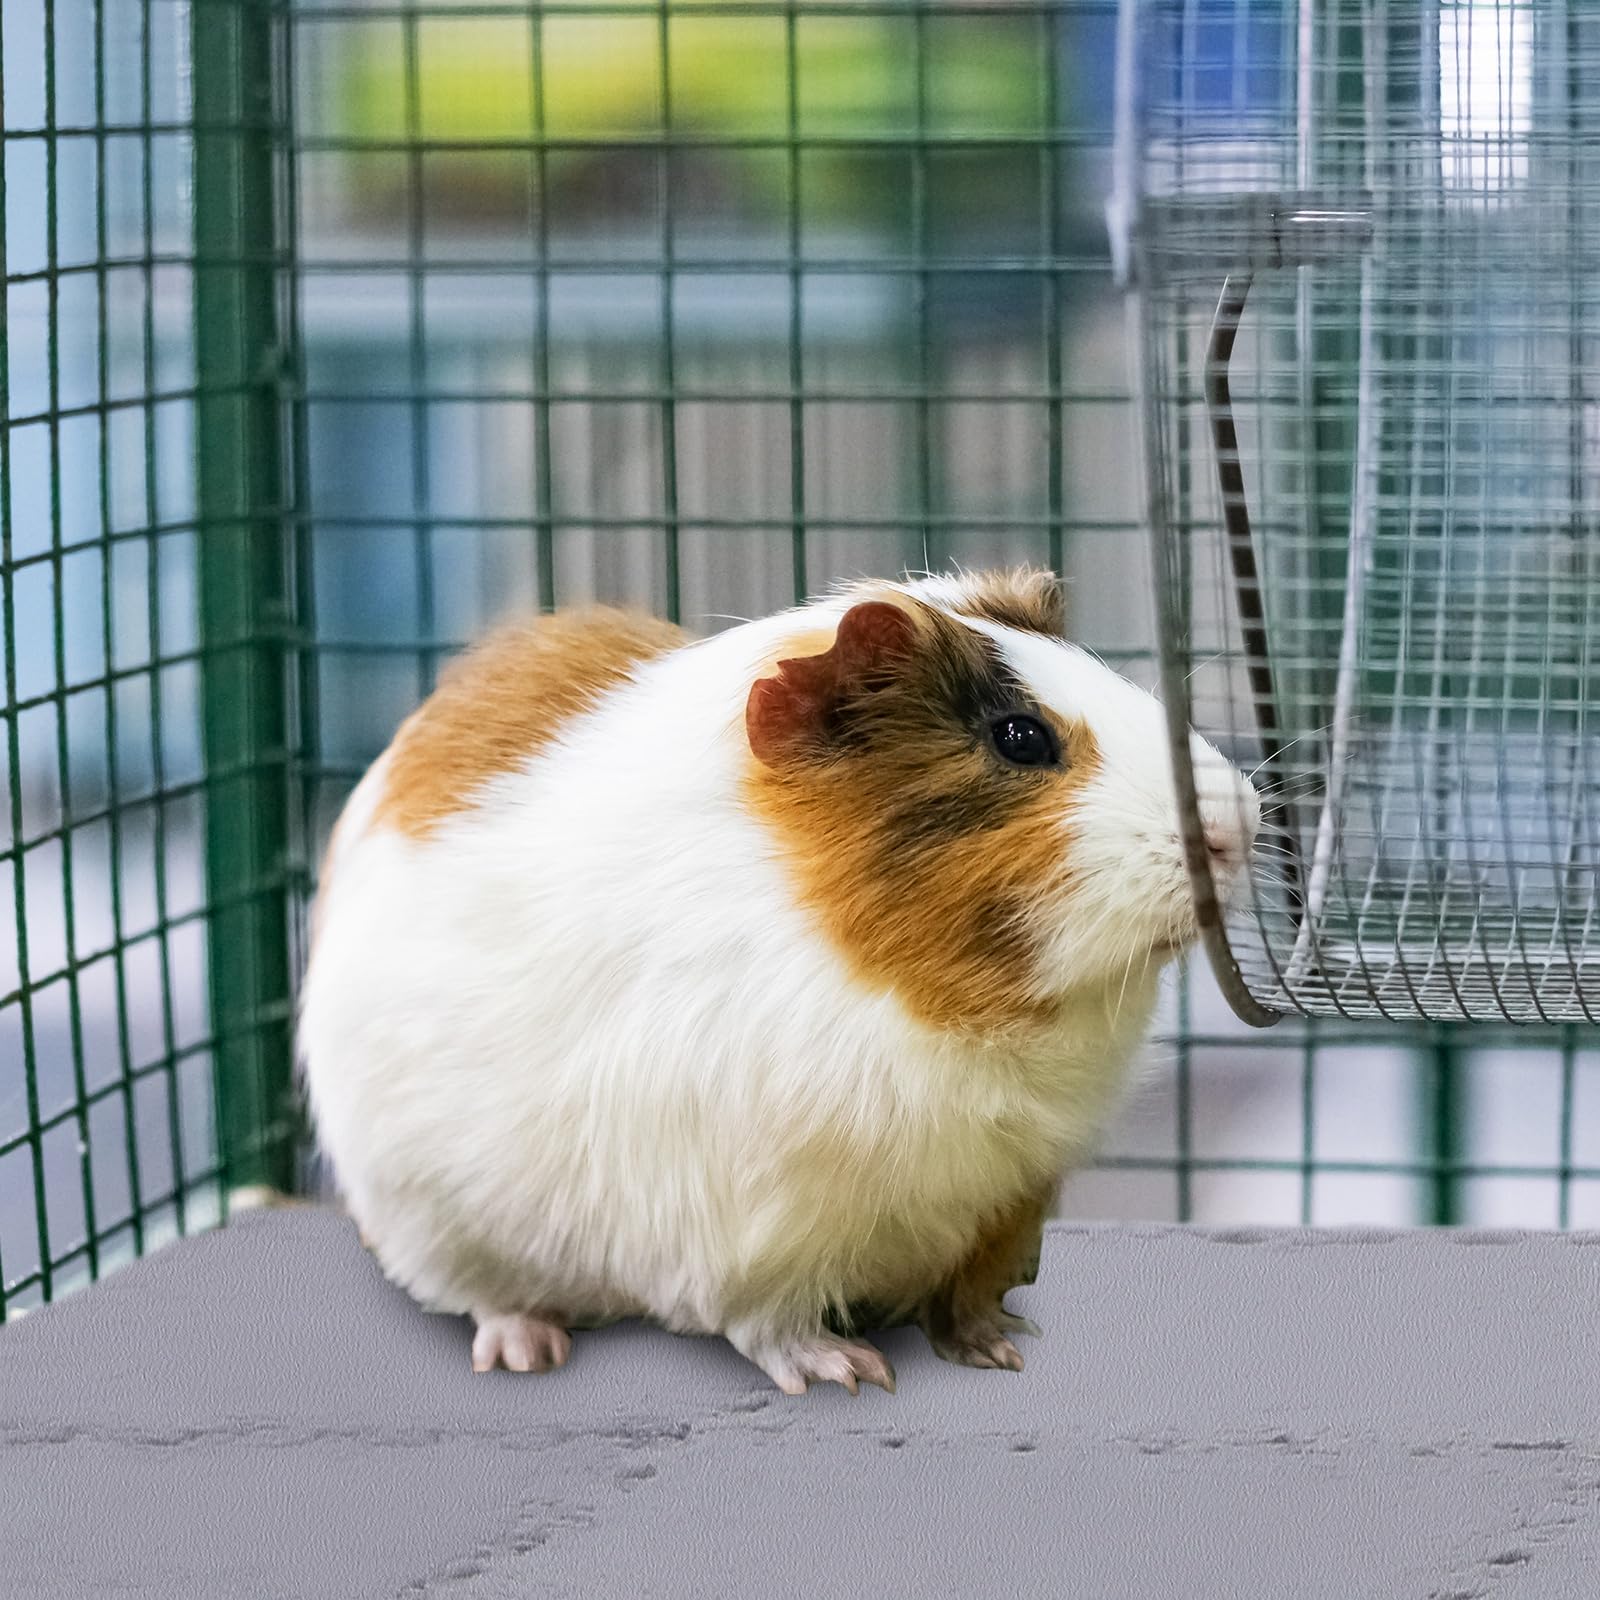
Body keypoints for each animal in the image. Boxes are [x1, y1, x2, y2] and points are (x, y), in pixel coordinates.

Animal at [298, 567, 1259, 1395]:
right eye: (1022, 738)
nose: (1239, 822)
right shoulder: (757, 1227)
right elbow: (769, 1321)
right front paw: (850, 1374)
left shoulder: (1010, 1194)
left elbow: (970, 1296)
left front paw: (1000, 1350)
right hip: (427, 1222)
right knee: (479, 1297)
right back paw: (528, 1351)